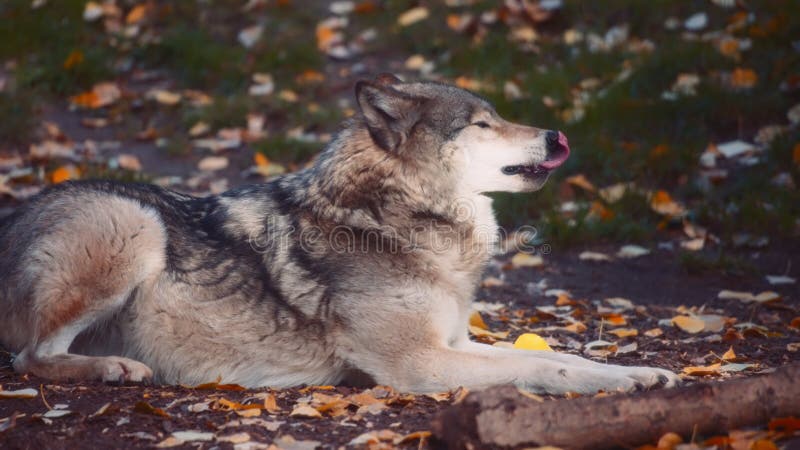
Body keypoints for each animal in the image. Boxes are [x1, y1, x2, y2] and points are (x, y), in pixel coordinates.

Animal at [0, 74, 679, 394]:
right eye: (483, 123)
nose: (557, 136)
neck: (393, 219)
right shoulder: (420, 364)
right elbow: (543, 368)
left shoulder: (454, 342)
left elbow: (560, 355)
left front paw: (644, 375)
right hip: (132, 225)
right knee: (30, 357)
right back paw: (115, 368)